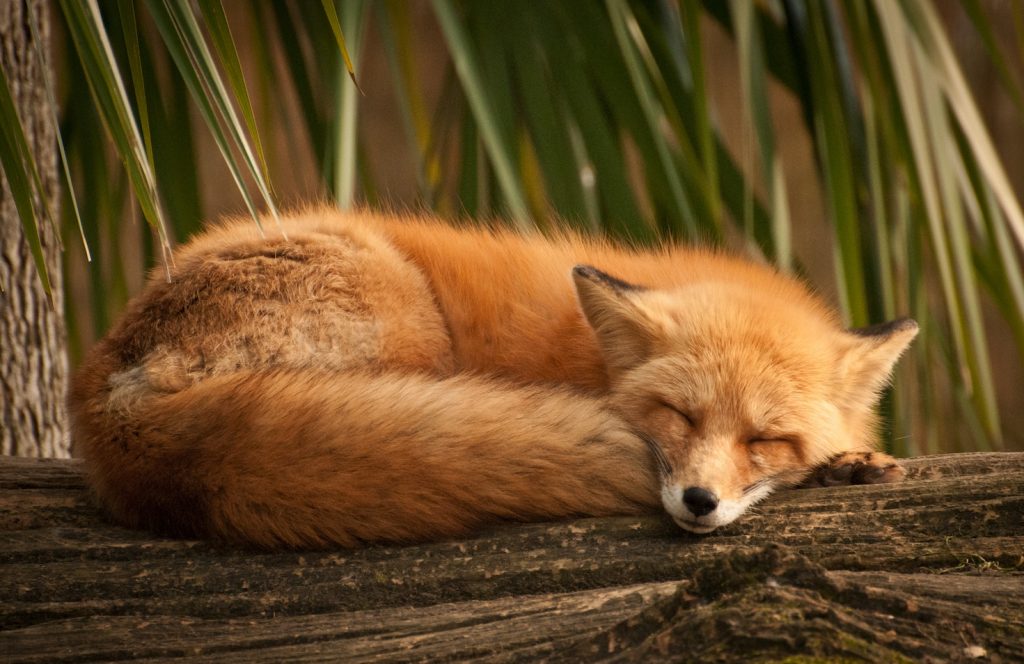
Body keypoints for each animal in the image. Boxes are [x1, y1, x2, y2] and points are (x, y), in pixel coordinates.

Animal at [69, 208, 917, 549]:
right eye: (678, 415)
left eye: (764, 437)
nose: (698, 502)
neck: (588, 356)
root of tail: (100, 384)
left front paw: (852, 462)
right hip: (407, 319)